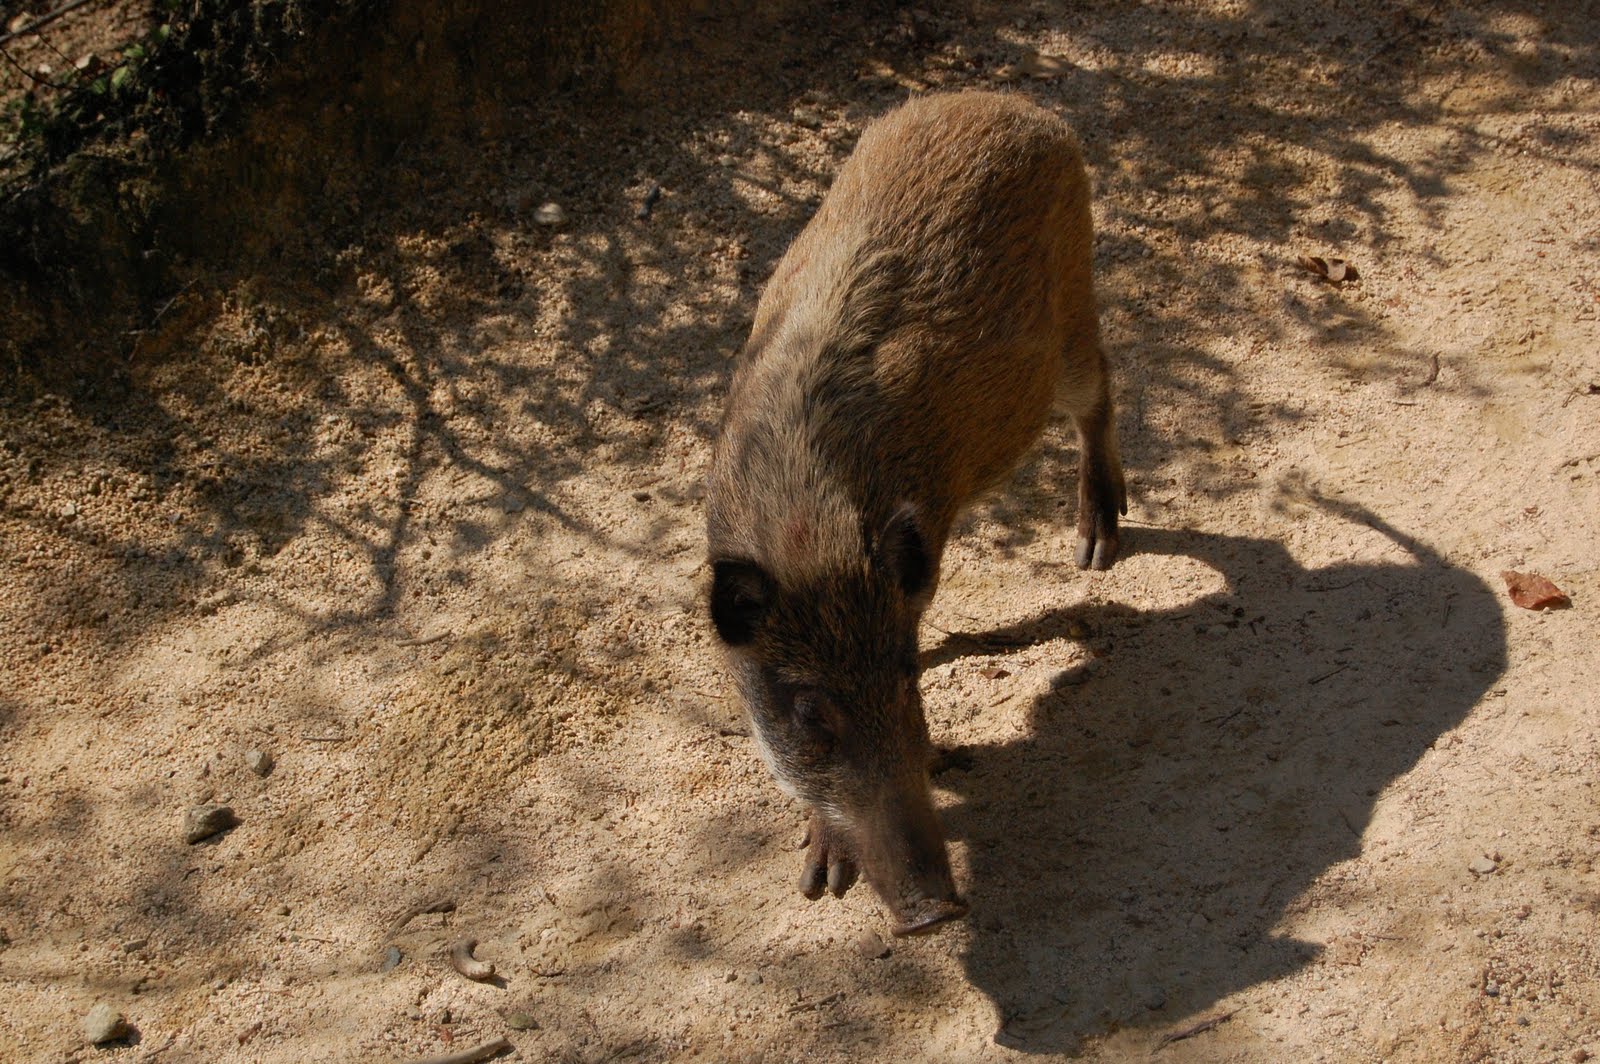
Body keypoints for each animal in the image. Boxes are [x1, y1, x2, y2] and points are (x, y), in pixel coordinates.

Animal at [704, 91, 1126, 936]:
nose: (933, 912)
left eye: (904, 681)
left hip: (1070, 320)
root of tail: (1024, 108)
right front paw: (818, 884)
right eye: (809, 712)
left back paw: (1097, 548)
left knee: (1100, 388)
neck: (805, 530)